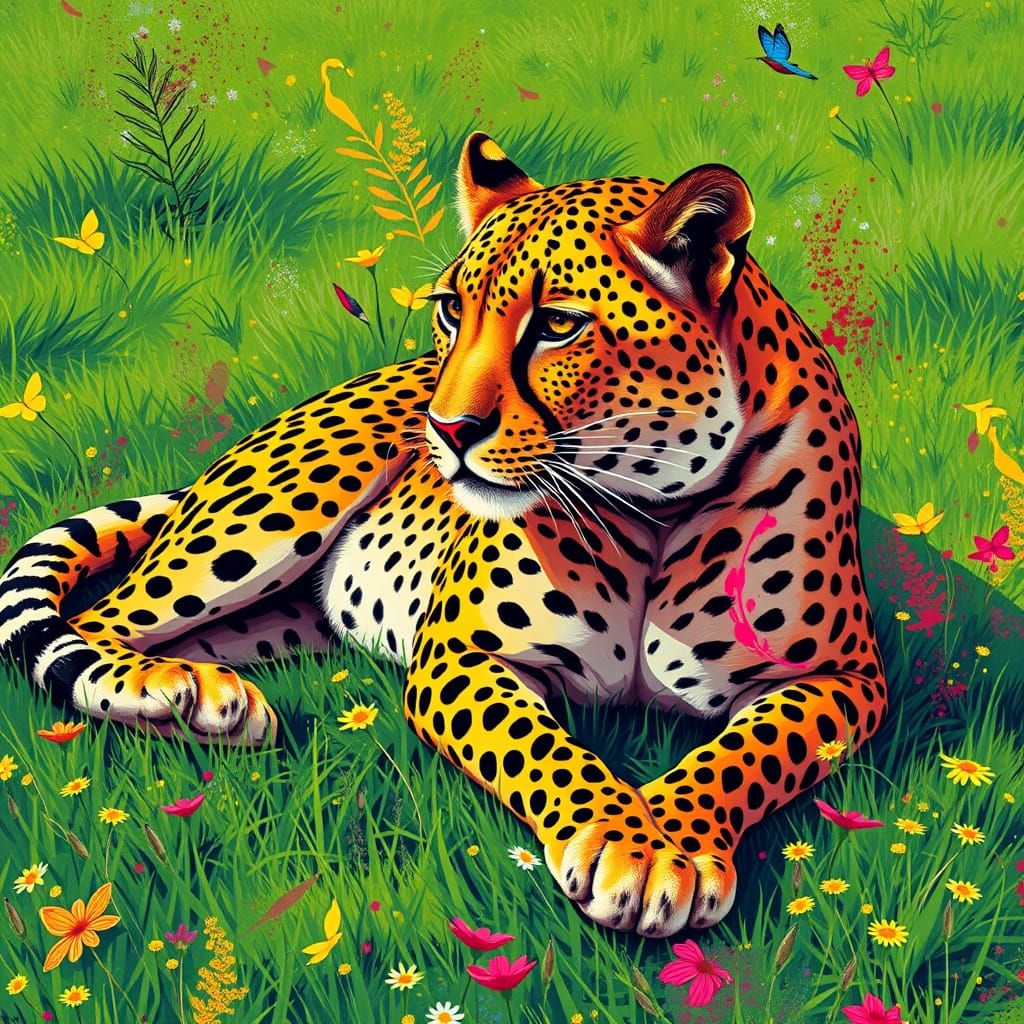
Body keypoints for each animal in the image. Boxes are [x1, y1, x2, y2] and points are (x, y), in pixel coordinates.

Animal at [0, 132, 886, 937]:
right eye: (453, 310)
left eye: (558, 324)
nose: (446, 428)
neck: (652, 502)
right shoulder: (460, 654)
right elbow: (542, 750)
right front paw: (628, 844)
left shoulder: (843, 679)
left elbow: (747, 752)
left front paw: (669, 844)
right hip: (264, 519)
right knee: (100, 621)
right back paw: (176, 692)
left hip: (276, 621)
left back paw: (205, 699)